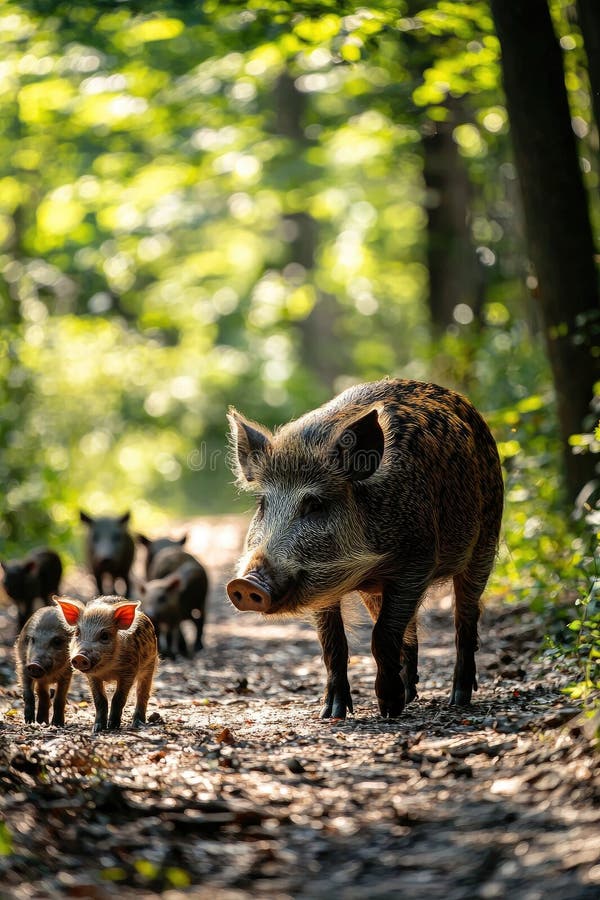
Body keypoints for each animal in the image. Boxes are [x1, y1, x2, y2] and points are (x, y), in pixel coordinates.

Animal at [54, 595, 158, 733]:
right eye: (77, 632)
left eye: (104, 636)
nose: (80, 657)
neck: (107, 670)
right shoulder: (92, 677)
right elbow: (100, 700)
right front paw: (97, 728)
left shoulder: (129, 671)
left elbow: (118, 698)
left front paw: (113, 726)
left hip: (151, 664)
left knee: (142, 693)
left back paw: (137, 724)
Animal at [226, 378, 503, 719]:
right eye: (262, 504)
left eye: (315, 504)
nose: (245, 583)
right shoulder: (323, 585)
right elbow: (332, 642)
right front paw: (331, 713)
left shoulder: (416, 563)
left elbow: (382, 636)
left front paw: (388, 709)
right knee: (410, 630)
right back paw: (410, 694)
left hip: (486, 542)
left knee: (465, 619)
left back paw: (458, 698)